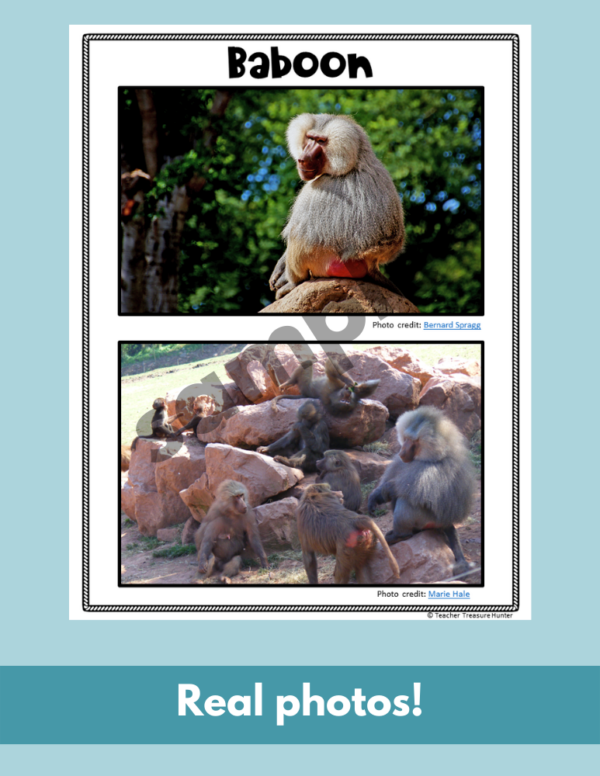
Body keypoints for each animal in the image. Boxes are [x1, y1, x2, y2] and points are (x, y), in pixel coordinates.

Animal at [269, 114, 406, 300]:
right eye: (310, 138)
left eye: (321, 141)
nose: (302, 159)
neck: (355, 161)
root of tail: (370, 264)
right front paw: (279, 269)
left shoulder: (320, 188)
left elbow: (302, 231)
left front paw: (287, 279)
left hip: (325, 261)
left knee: (300, 236)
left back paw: (293, 283)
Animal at [367, 406, 476, 576]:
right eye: (405, 438)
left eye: (415, 441)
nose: (401, 452)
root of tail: (446, 523)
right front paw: (374, 497)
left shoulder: (434, 471)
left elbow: (408, 490)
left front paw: (381, 493)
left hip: (430, 520)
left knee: (406, 501)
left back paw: (399, 535)